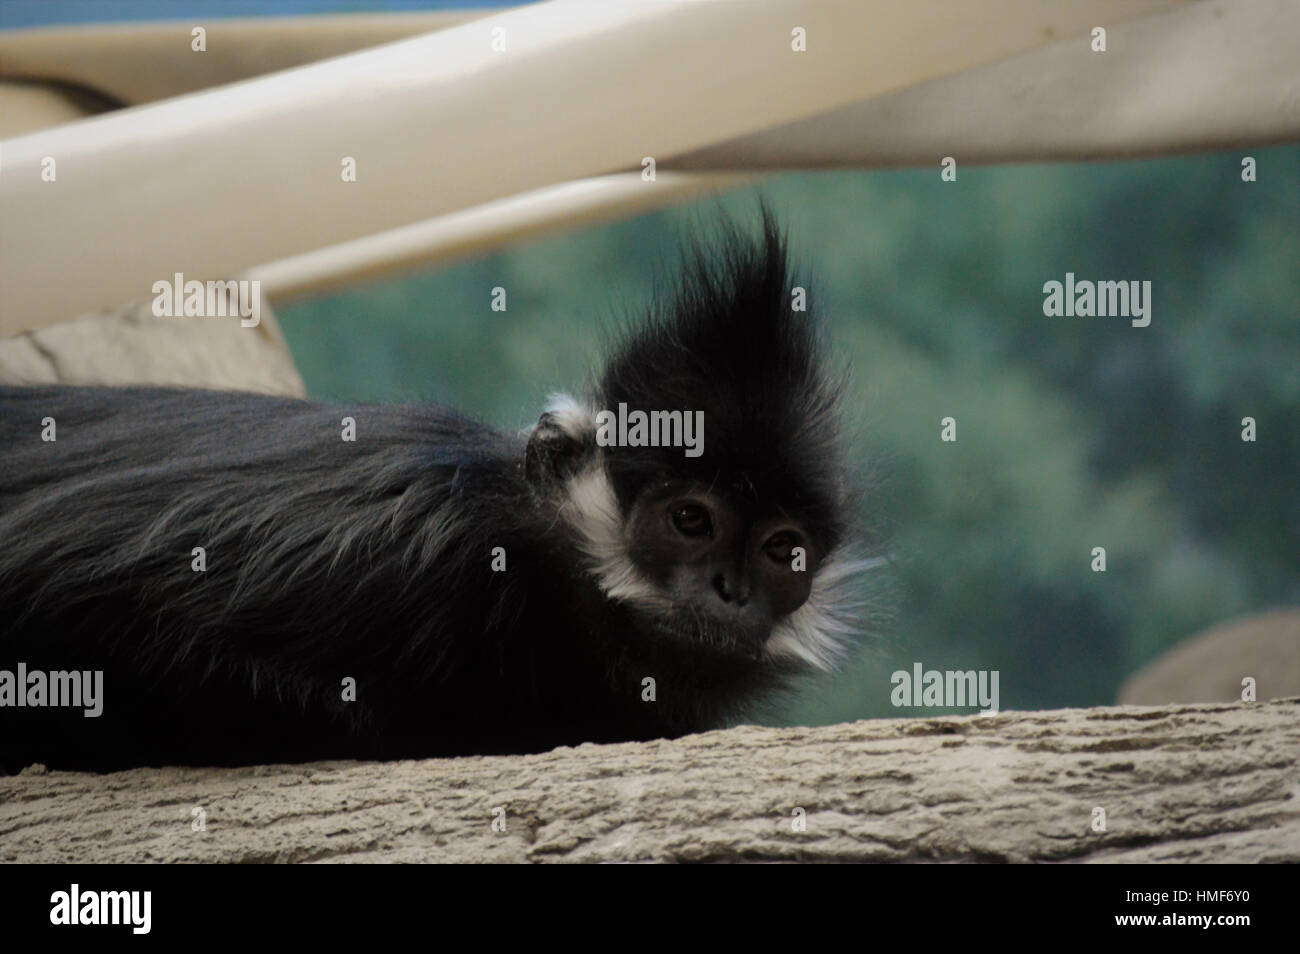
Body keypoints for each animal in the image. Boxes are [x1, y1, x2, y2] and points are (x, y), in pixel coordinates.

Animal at [0, 214, 874, 773]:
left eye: (781, 551)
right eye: (690, 519)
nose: (729, 589)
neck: (528, 571)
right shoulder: (408, 534)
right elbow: (54, 588)